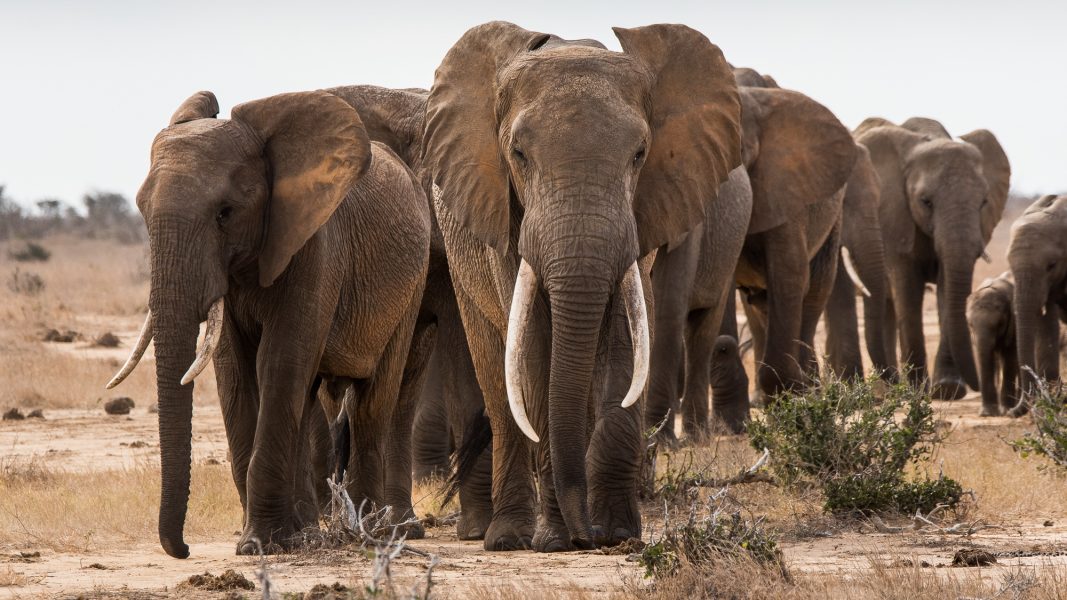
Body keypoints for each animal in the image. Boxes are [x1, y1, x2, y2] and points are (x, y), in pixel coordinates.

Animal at [106, 89, 432, 557]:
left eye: (225, 213)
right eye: (141, 210)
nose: (182, 549)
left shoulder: (315, 246)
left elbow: (280, 360)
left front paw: (260, 546)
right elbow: (236, 372)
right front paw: (271, 540)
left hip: (412, 285)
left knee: (374, 401)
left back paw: (374, 532)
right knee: (309, 399)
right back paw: (309, 530)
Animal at [854, 117, 1010, 399]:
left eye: (983, 202)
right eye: (925, 201)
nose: (979, 386)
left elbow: (949, 287)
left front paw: (947, 389)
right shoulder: (894, 216)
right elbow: (907, 289)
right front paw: (918, 388)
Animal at [967, 271, 1019, 416]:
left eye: (1000, 324)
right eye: (970, 325)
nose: (985, 413)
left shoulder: (1014, 324)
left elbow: (1010, 356)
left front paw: (1006, 410)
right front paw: (988, 413)